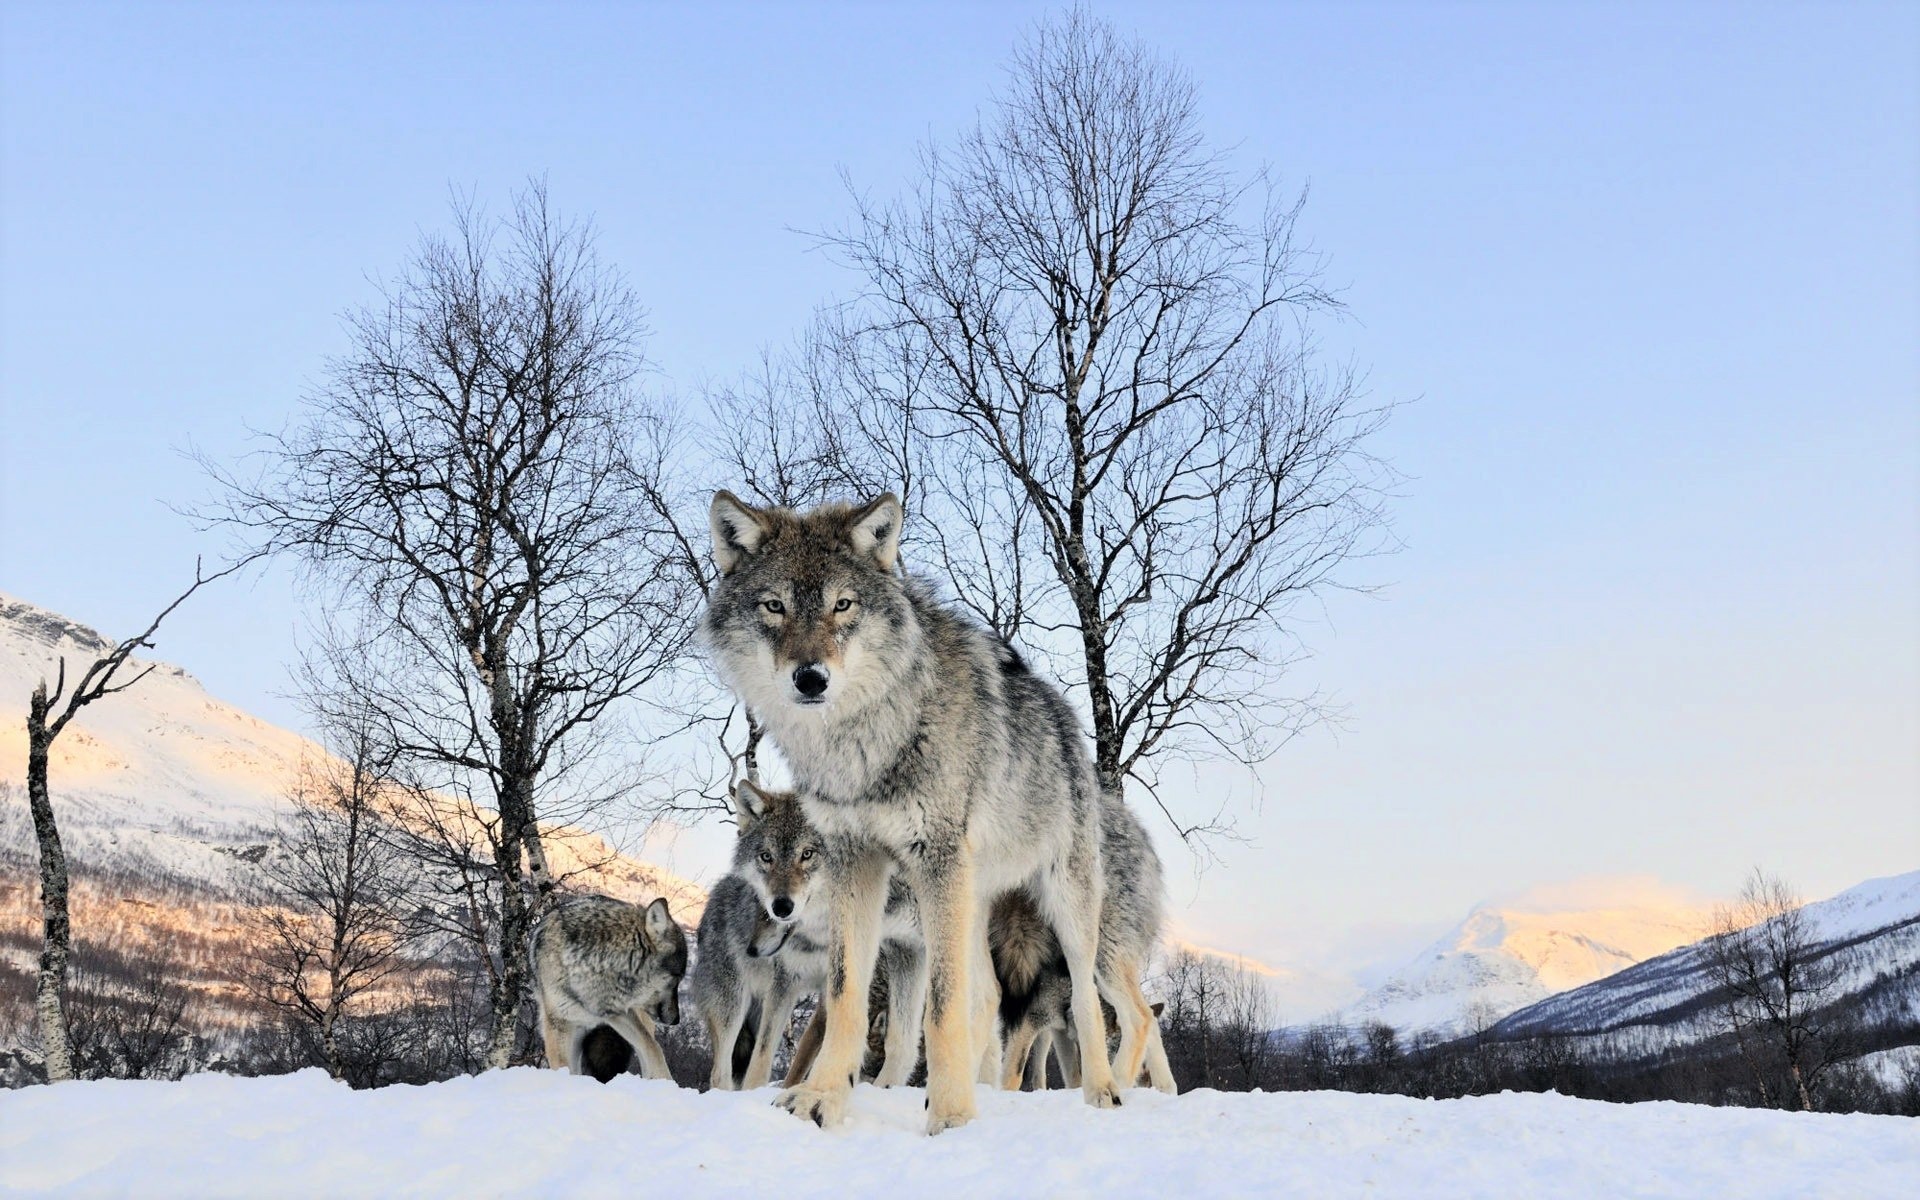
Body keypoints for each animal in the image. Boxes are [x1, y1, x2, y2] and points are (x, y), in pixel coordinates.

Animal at [532, 893, 688, 1080]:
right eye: (677, 978)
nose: (676, 1020)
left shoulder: (621, 1013)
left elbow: (653, 1048)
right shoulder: (559, 1025)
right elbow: (563, 1068)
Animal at [690, 778, 926, 1091]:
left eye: (807, 854)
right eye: (767, 857)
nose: (780, 907)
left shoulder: (829, 998)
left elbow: (802, 1059)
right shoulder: (784, 984)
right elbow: (764, 1058)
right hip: (732, 1005)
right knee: (720, 1071)